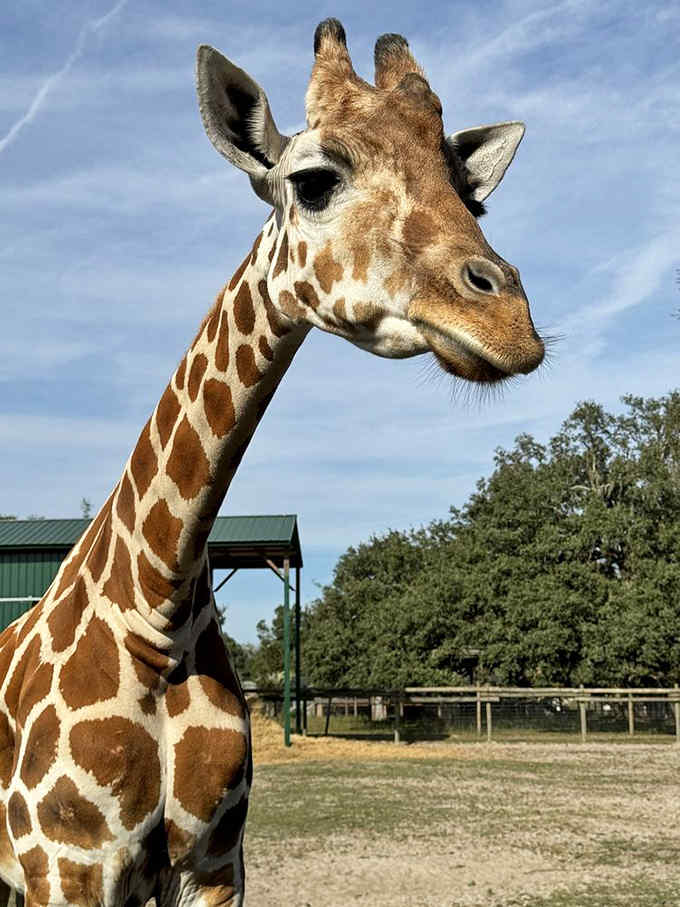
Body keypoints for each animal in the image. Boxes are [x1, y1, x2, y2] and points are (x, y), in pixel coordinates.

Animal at [0, 19, 544, 907]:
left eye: (474, 196)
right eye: (314, 181)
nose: (511, 325)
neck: (156, 609)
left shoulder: (216, 864)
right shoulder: (67, 863)